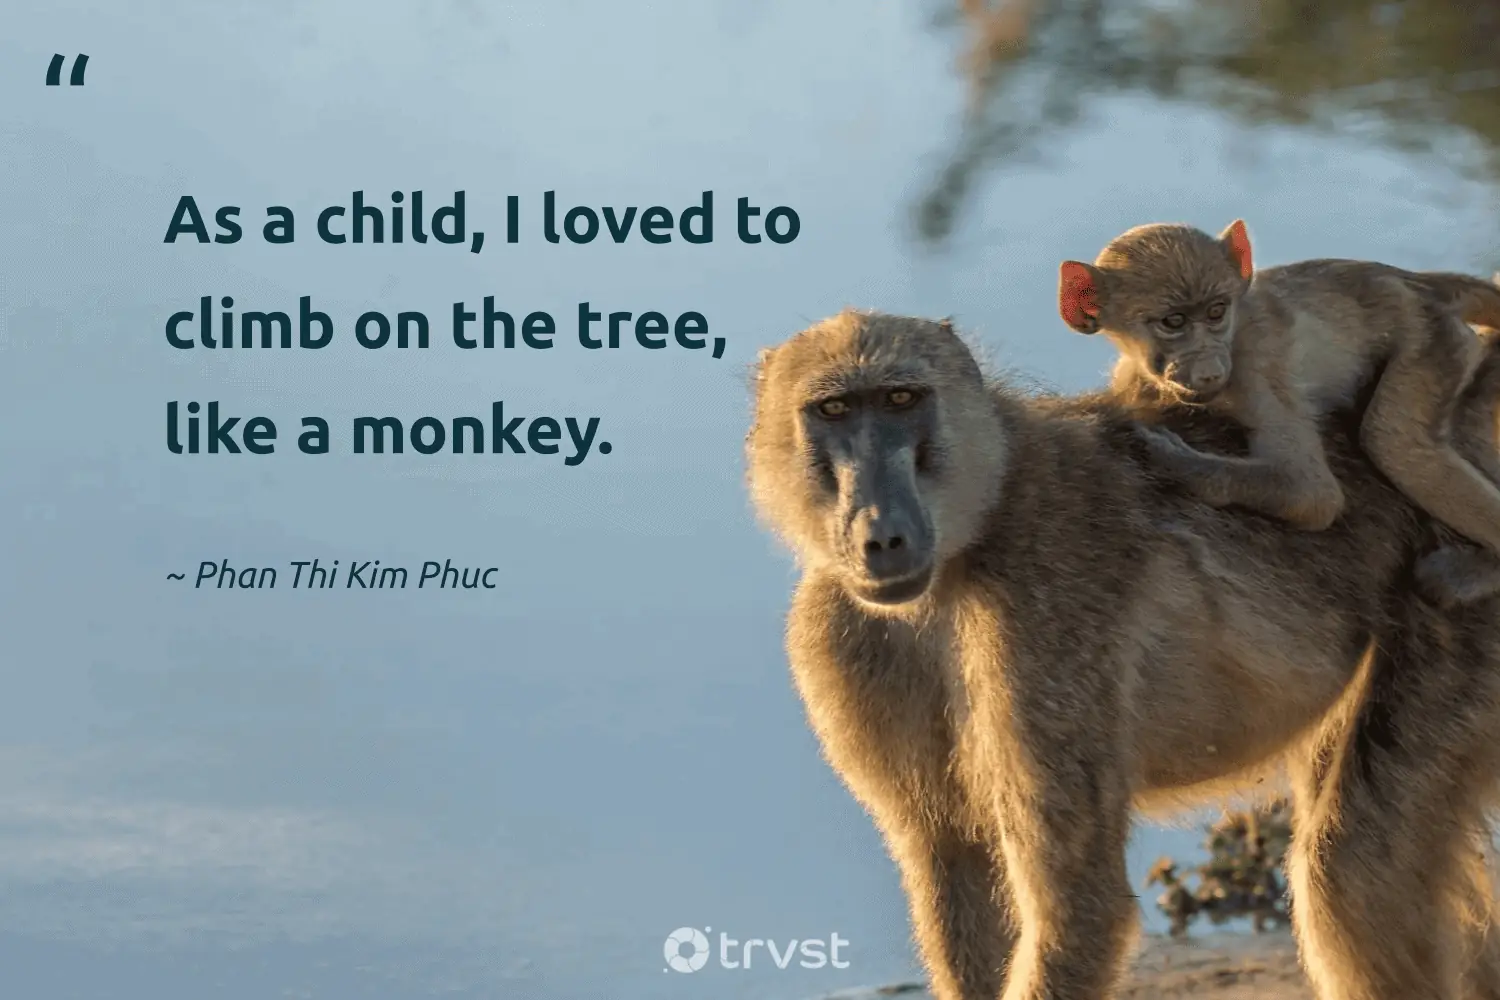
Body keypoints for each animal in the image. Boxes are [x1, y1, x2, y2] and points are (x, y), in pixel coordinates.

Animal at [745, 309, 1500, 1000]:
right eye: (834, 410)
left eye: (901, 400)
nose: (883, 534)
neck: (970, 539)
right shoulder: (839, 633)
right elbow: (954, 863)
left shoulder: (1045, 613)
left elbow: (1079, 910)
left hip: (1463, 610)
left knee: (1352, 876)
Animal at [1055, 220, 1500, 602]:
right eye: (1174, 321)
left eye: (1216, 312)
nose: (1210, 370)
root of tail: (1419, 281)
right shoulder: (1133, 379)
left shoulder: (1254, 364)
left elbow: (1312, 493)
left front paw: (1169, 460)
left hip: (1432, 339)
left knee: (1393, 443)